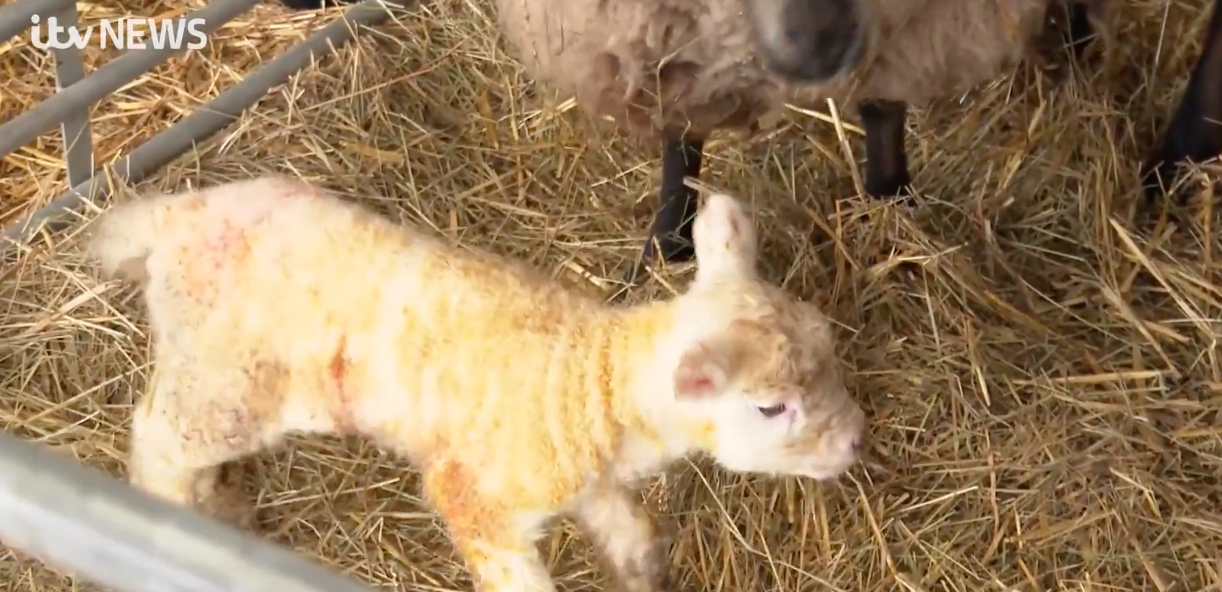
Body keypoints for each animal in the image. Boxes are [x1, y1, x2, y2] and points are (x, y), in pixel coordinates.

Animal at [85, 176, 867, 592]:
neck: (588, 381)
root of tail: (176, 216)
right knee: (158, 437)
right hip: (224, 384)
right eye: (771, 406)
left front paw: (643, 569)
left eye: (829, 344)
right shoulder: (478, 502)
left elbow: (630, 532)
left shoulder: (589, 482)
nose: (857, 440)